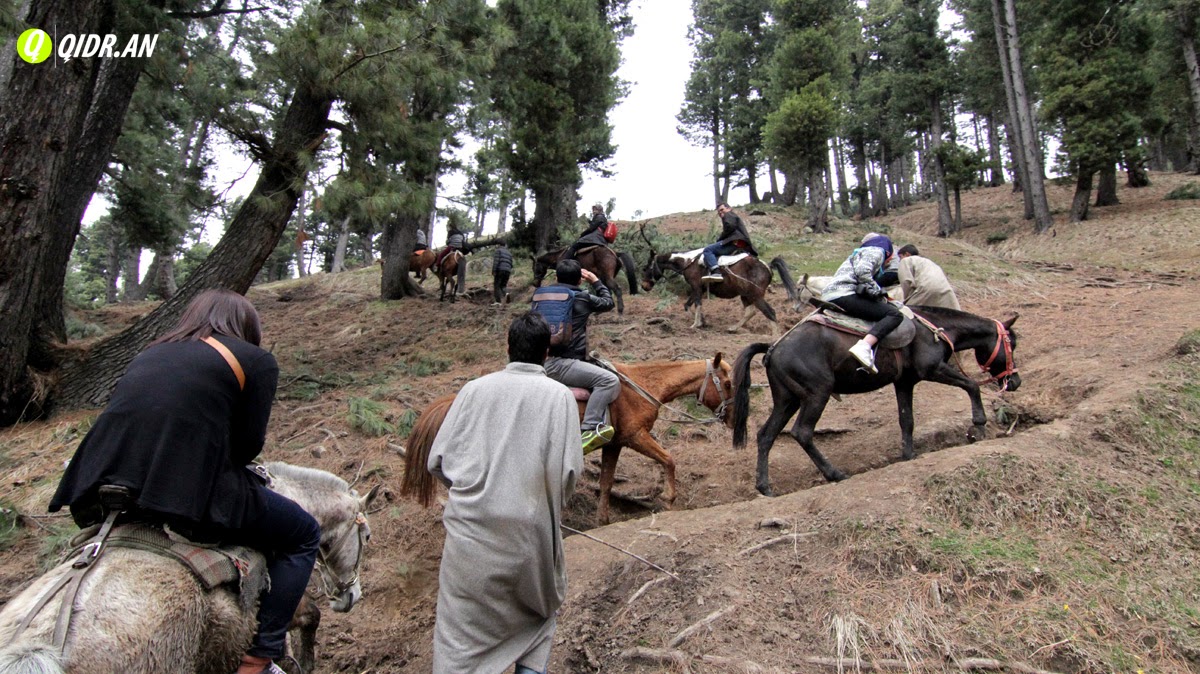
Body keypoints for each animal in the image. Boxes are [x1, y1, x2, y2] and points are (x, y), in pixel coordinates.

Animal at [401, 355, 735, 525]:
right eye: (728, 382)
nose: (731, 418)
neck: (642, 385)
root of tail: (453, 401)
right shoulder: (636, 436)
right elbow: (669, 459)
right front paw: (669, 497)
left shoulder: (614, 444)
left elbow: (606, 482)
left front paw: (603, 519)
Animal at [731, 305, 1021, 496]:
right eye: (1013, 344)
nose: (1015, 381)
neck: (935, 329)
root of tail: (773, 348)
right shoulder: (933, 369)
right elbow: (971, 385)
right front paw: (979, 425)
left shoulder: (905, 382)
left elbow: (907, 420)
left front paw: (908, 455)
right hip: (817, 394)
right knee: (802, 432)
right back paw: (834, 473)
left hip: (787, 400)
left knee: (766, 435)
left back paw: (765, 487)